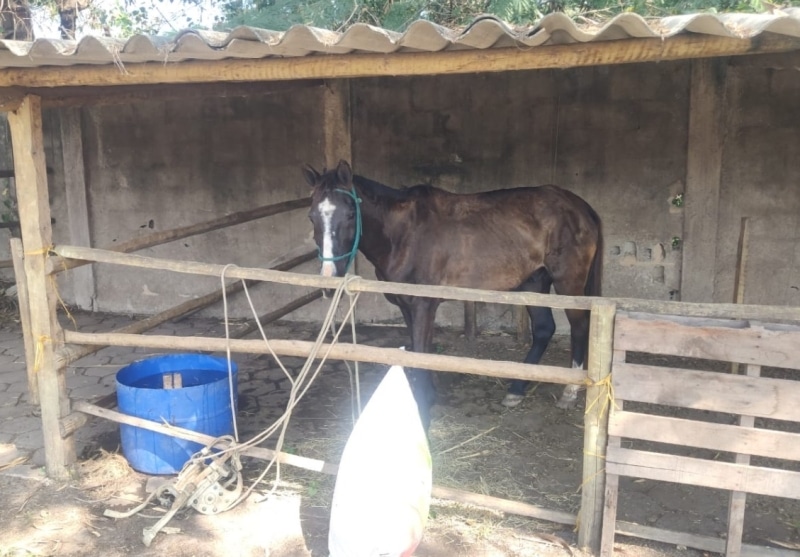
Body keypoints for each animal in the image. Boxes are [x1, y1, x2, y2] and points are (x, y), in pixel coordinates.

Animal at [304, 160, 603, 431]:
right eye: (312, 216)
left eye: (350, 215)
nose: (329, 279)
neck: (404, 234)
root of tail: (578, 205)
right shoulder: (407, 306)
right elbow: (419, 352)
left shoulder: (423, 306)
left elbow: (421, 353)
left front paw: (422, 412)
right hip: (535, 282)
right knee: (543, 329)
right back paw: (516, 390)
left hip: (568, 284)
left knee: (579, 327)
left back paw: (569, 392)